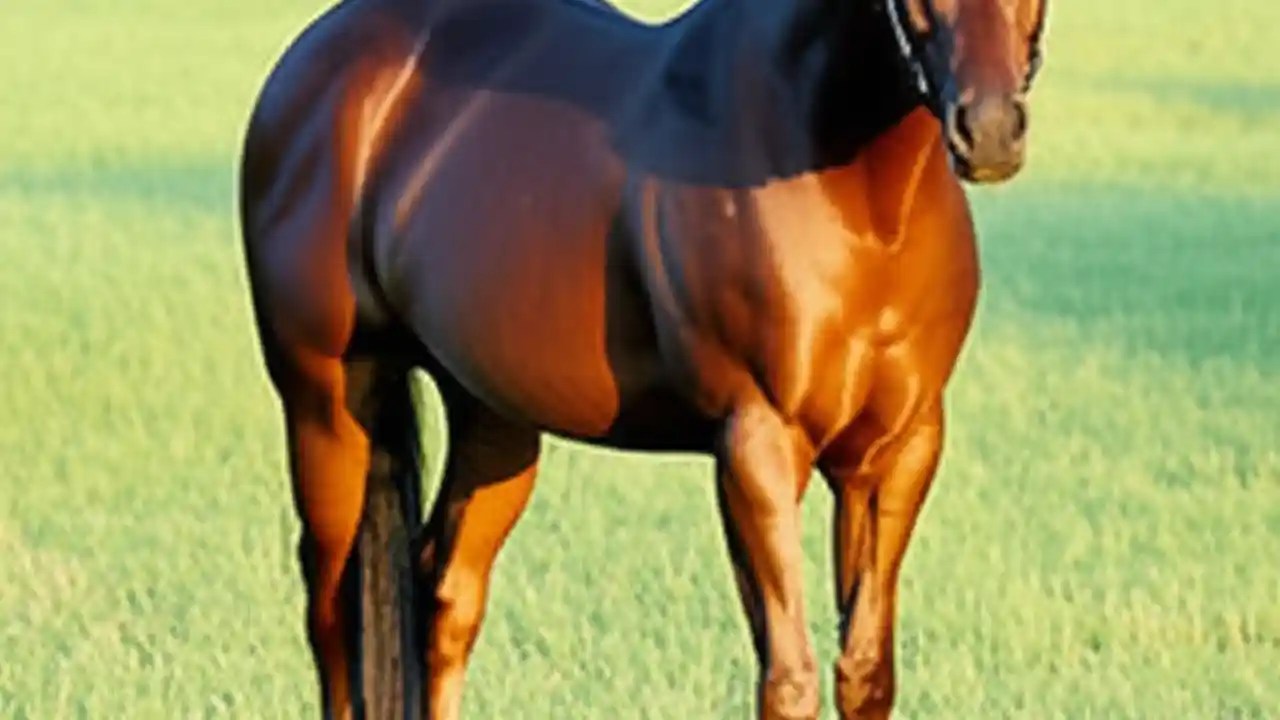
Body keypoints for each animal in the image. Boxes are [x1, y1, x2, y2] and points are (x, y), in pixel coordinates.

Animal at [238, 0, 1049, 717]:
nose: (989, 130)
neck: (855, 197)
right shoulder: (756, 445)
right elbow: (788, 678)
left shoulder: (898, 452)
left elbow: (866, 673)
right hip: (326, 401)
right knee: (335, 617)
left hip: (492, 419)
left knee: (444, 595)